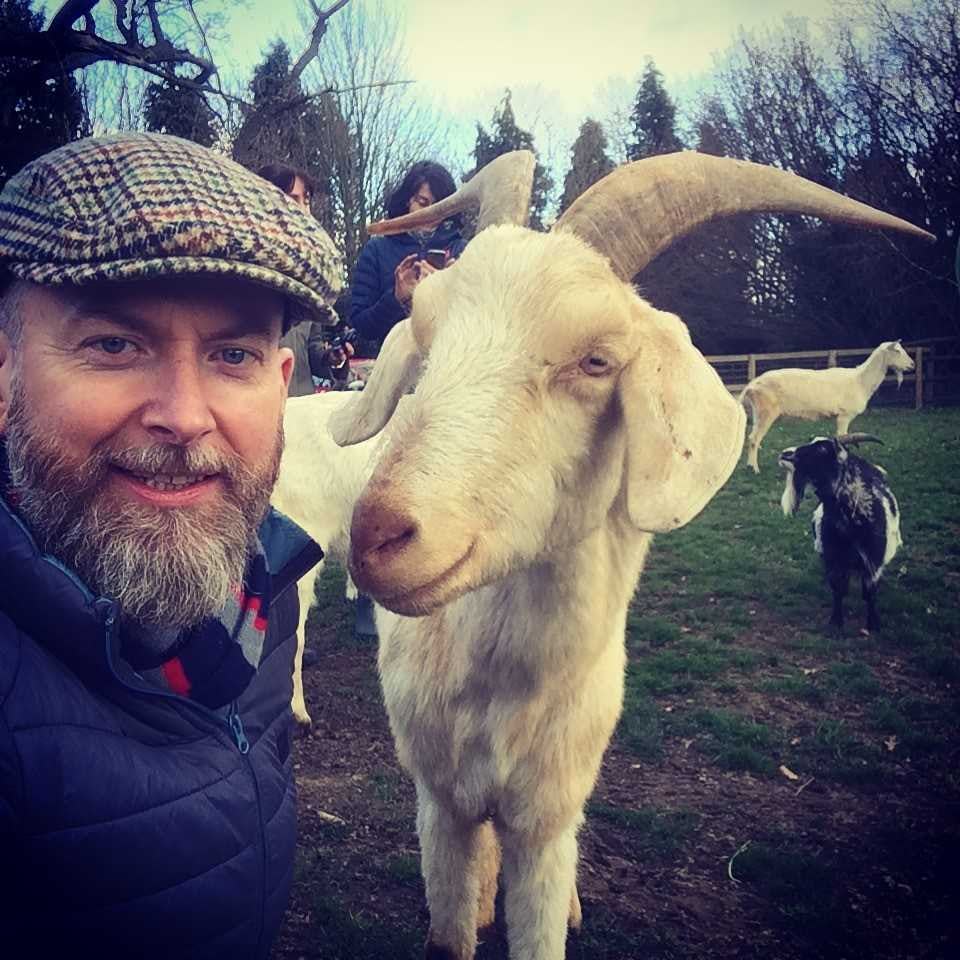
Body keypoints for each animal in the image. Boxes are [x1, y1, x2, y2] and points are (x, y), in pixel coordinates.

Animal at [741, 340, 915, 472]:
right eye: (897, 351)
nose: (912, 365)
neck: (861, 381)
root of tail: (752, 385)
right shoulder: (845, 415)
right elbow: (843, 438)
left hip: (758, 412)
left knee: (751, 437)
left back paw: (749, 465)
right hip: (766, 411)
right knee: (754, 438)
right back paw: (755, 469)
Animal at [779, 434, 902, 635]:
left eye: (822, 448)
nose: (785, 453)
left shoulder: (873, 561)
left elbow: (870, 593)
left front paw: (873, 624)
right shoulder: (833, 557)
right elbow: (838, 589)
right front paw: (836, 622)